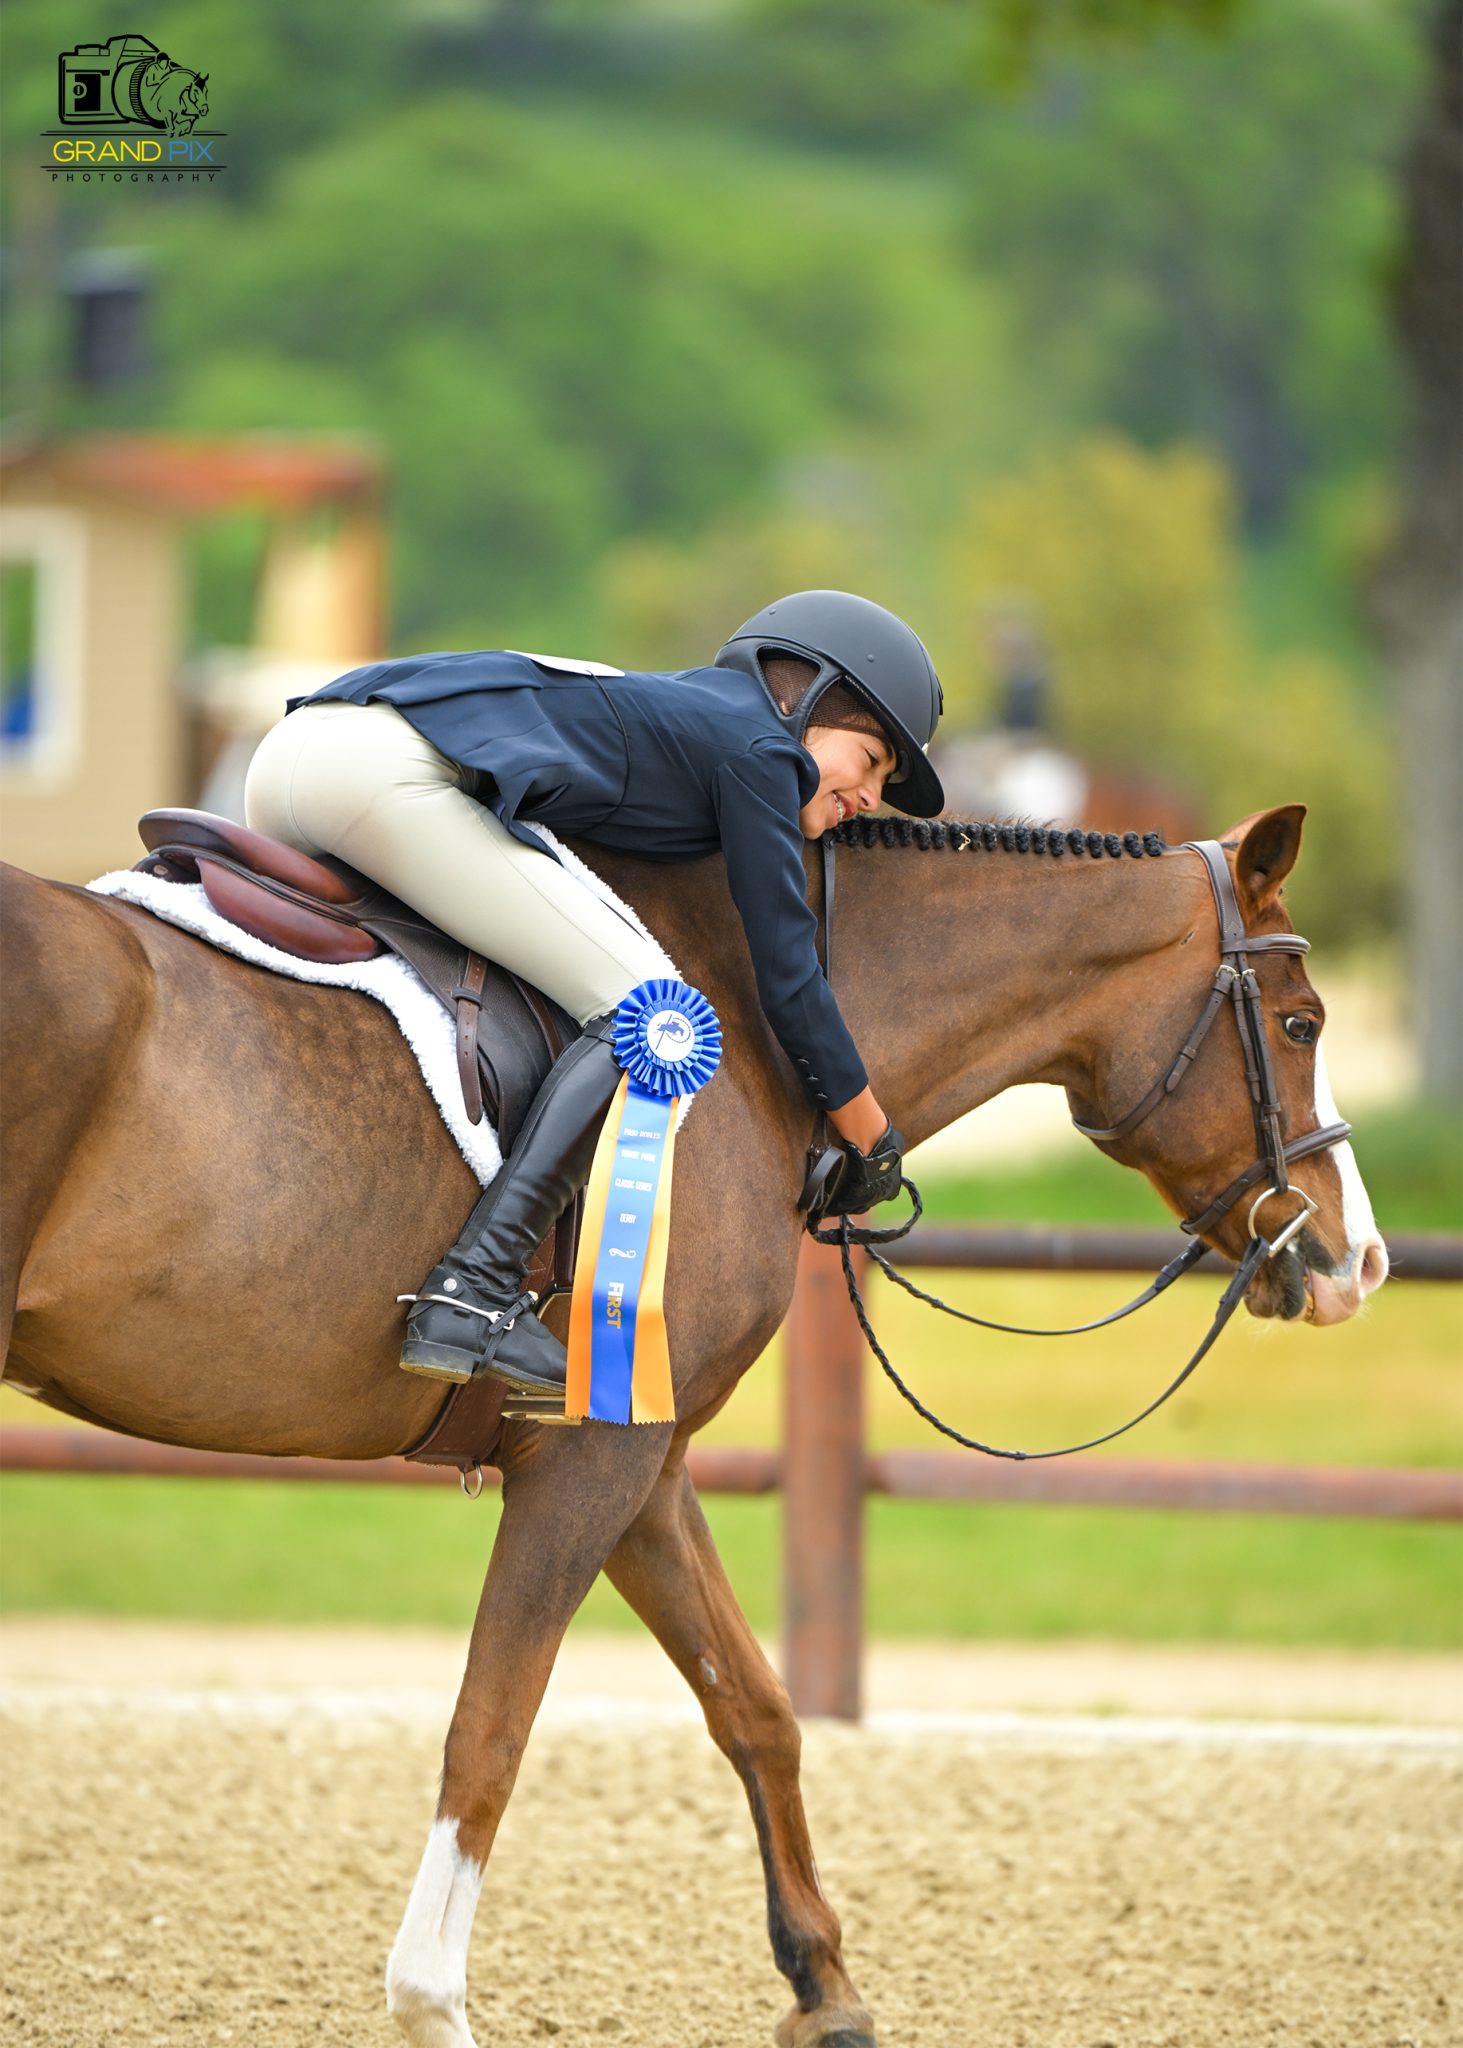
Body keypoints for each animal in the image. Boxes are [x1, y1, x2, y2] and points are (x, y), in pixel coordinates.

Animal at [0, 801, 1387, 2048]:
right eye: (1300, 1023)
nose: (1356, 1263)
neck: (758, 1026)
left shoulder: (645, 1465)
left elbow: (753, 1706)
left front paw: (826, 1992)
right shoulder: (587, 1460)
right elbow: (490, 1731)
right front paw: (430, 2005)